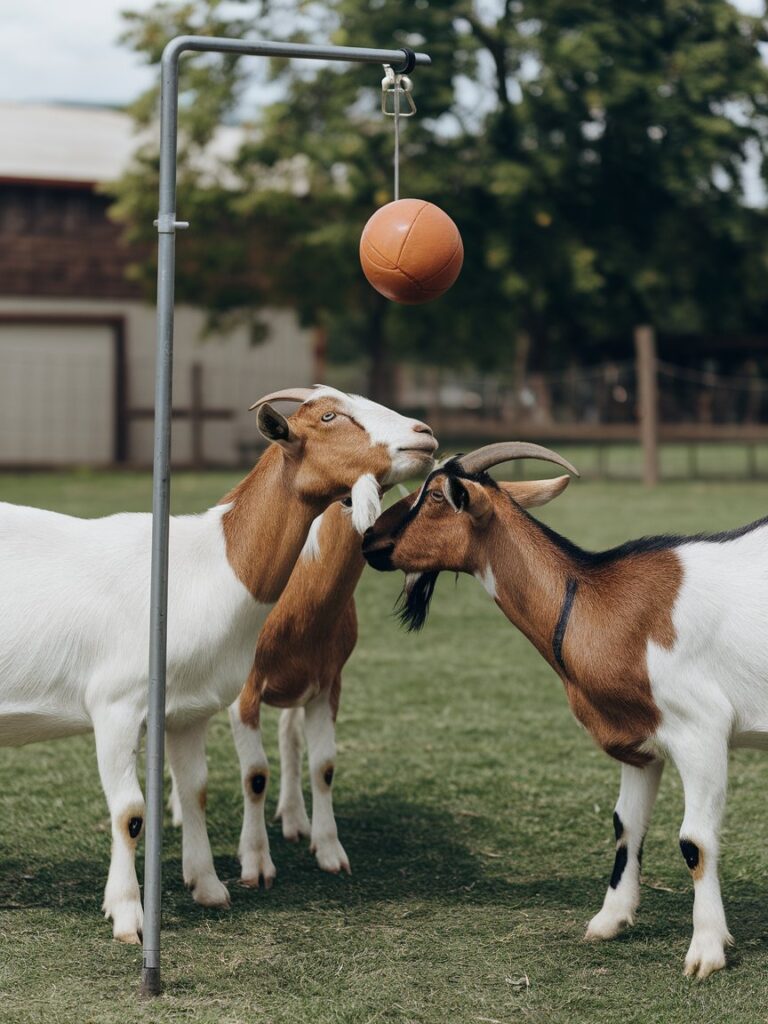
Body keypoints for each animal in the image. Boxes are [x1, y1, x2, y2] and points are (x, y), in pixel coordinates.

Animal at [0, 385, 436, 943]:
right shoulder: (115, 706)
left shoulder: (187, 713)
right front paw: (128, 916)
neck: (203, 566)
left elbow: (195, 792)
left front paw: (207, 887)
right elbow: (130, 813)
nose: (425, 436)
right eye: (329, 416)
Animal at [362, 441, 768, 979]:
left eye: (434, 498)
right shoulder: (639, 742)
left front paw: (706, 951)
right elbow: (625, 825)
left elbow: (695, 842)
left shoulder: (700, 731)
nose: (367, 539)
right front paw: (610, 921)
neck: (602, 604)